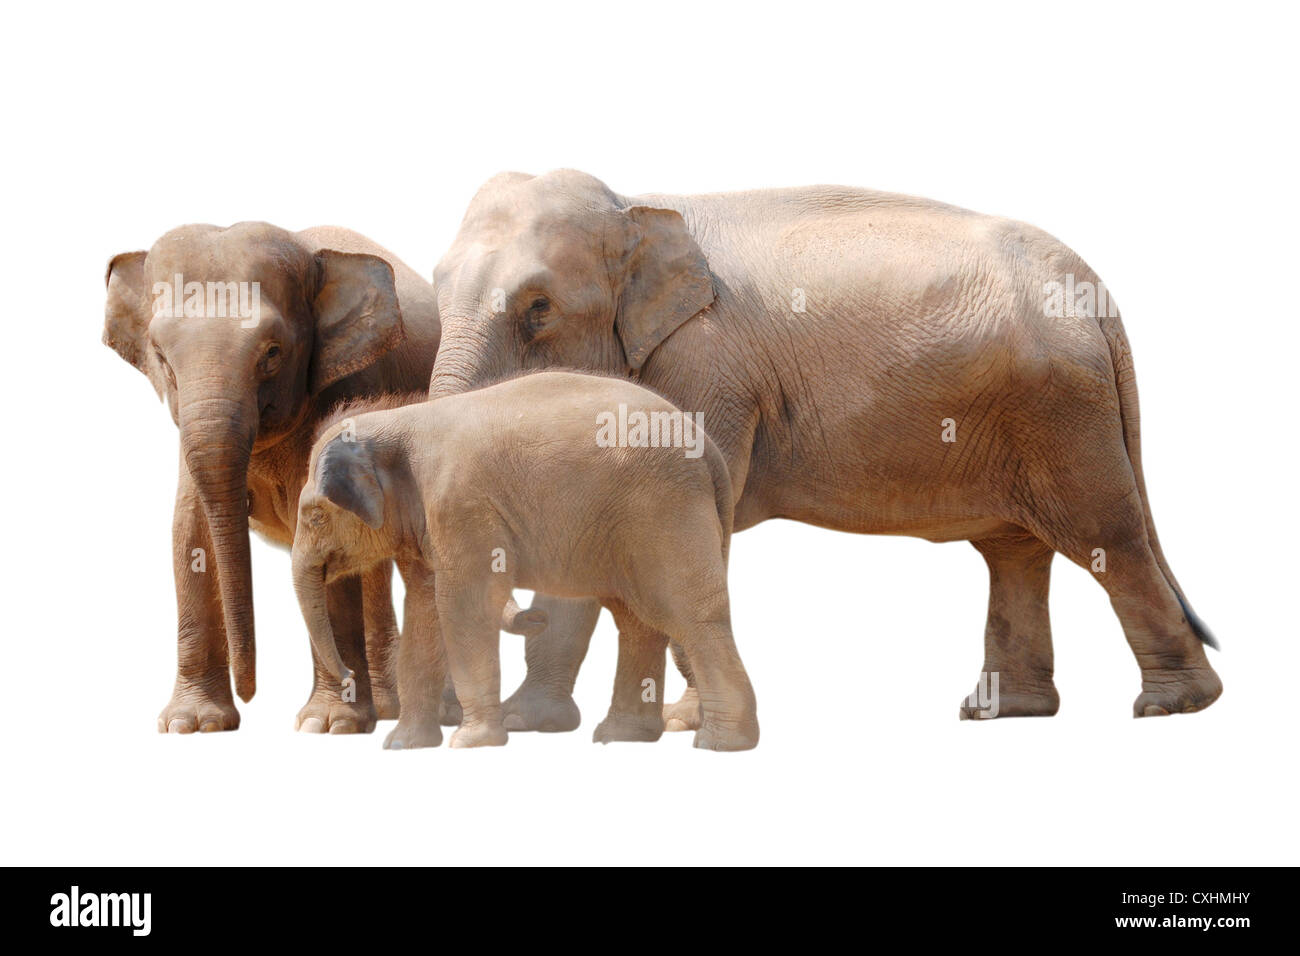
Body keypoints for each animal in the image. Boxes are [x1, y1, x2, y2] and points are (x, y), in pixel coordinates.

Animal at [103, 222, 445, 734]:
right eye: (161, 356)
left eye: (272, 353)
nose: (249, 693)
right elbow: (191, 534)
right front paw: (193, 724)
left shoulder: (352, 387)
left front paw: (329, 724)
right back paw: (388, 709)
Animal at [290, 371, 755, 751]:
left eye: (314, 516)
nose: (350, 676)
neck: (399, 418)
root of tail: (709, 448)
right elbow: (424, 611)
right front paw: (403, 746)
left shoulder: (461, 505)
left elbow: (465, 605)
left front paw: (469, 744)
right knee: (637, 621)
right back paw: (620, 737)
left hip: (664, 510)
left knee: (690, 614)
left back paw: (720, 744)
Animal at [428, 169, 1223, 730]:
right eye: (434, 293)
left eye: (538, 309)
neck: (637, 205)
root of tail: (1094, 290)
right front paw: (531, 724)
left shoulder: (704, 373)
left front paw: (684, 724)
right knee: (1015, 552)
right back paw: (1004, 713)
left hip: (1061, 412)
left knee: (1104, 538)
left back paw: (1173, 706)